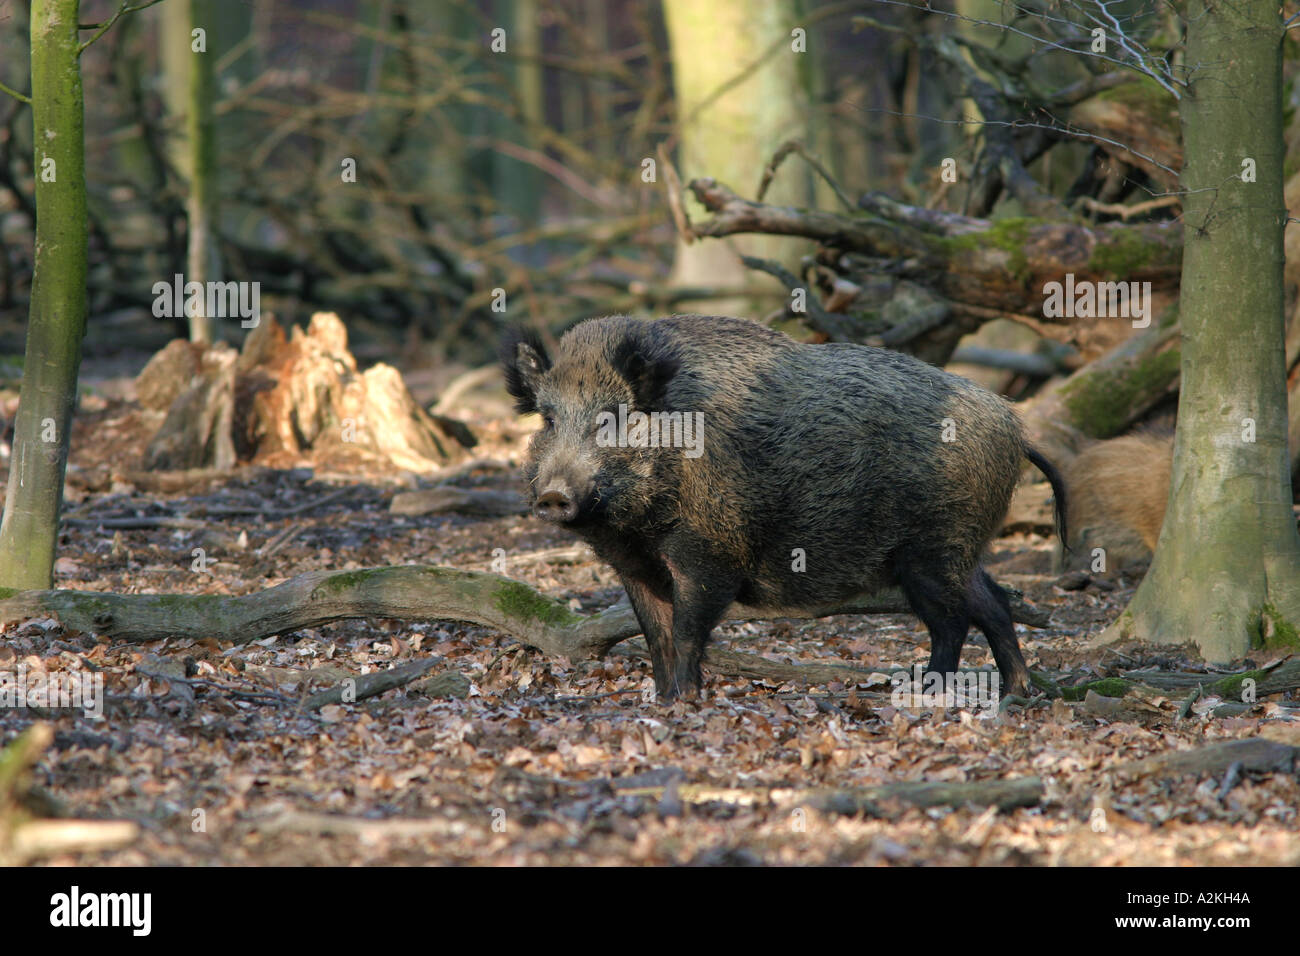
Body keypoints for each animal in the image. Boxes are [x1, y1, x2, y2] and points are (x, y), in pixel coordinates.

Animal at [501, 314, 1067, 702]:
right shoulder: (635, 566)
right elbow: (655, 637)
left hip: (933, 549)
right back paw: (1015, 692)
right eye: (548, 419)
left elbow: (686, 632)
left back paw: (928, 693)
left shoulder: (711, 552)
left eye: (612, 417)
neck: (642, 525)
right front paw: (663, 700)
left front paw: (686, 702)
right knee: (994, 602)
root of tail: (1015, 429)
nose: (552, 494)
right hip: (957, 550)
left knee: (954, 619)